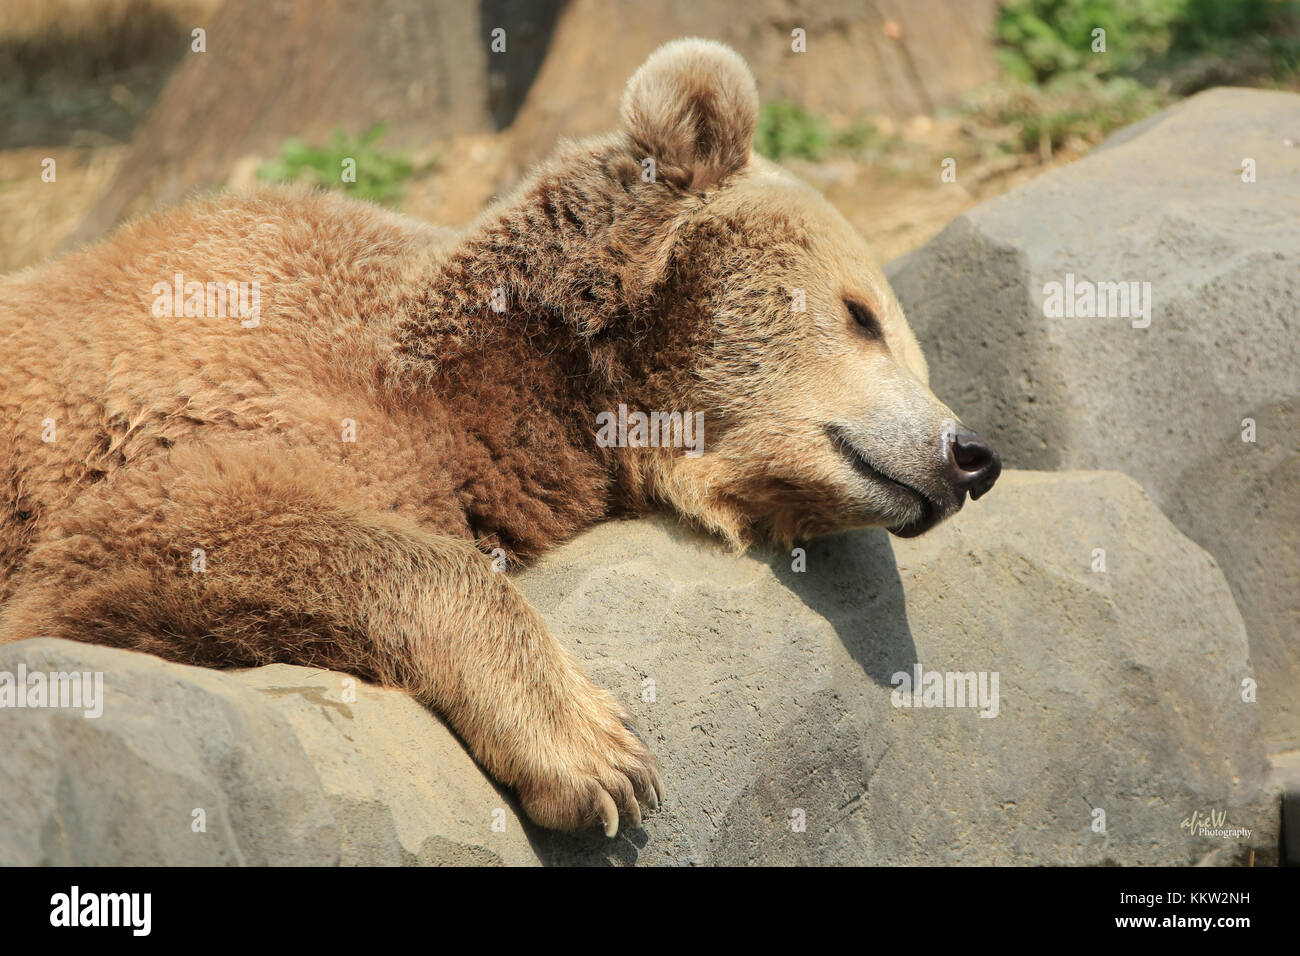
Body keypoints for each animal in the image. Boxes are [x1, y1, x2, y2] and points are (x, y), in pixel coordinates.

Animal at [0, 39, 1000, 836]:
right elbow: (174, 534)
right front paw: (598, 754)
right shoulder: (219, 381)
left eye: (908, 339)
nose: (970, 455)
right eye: (862, 315)